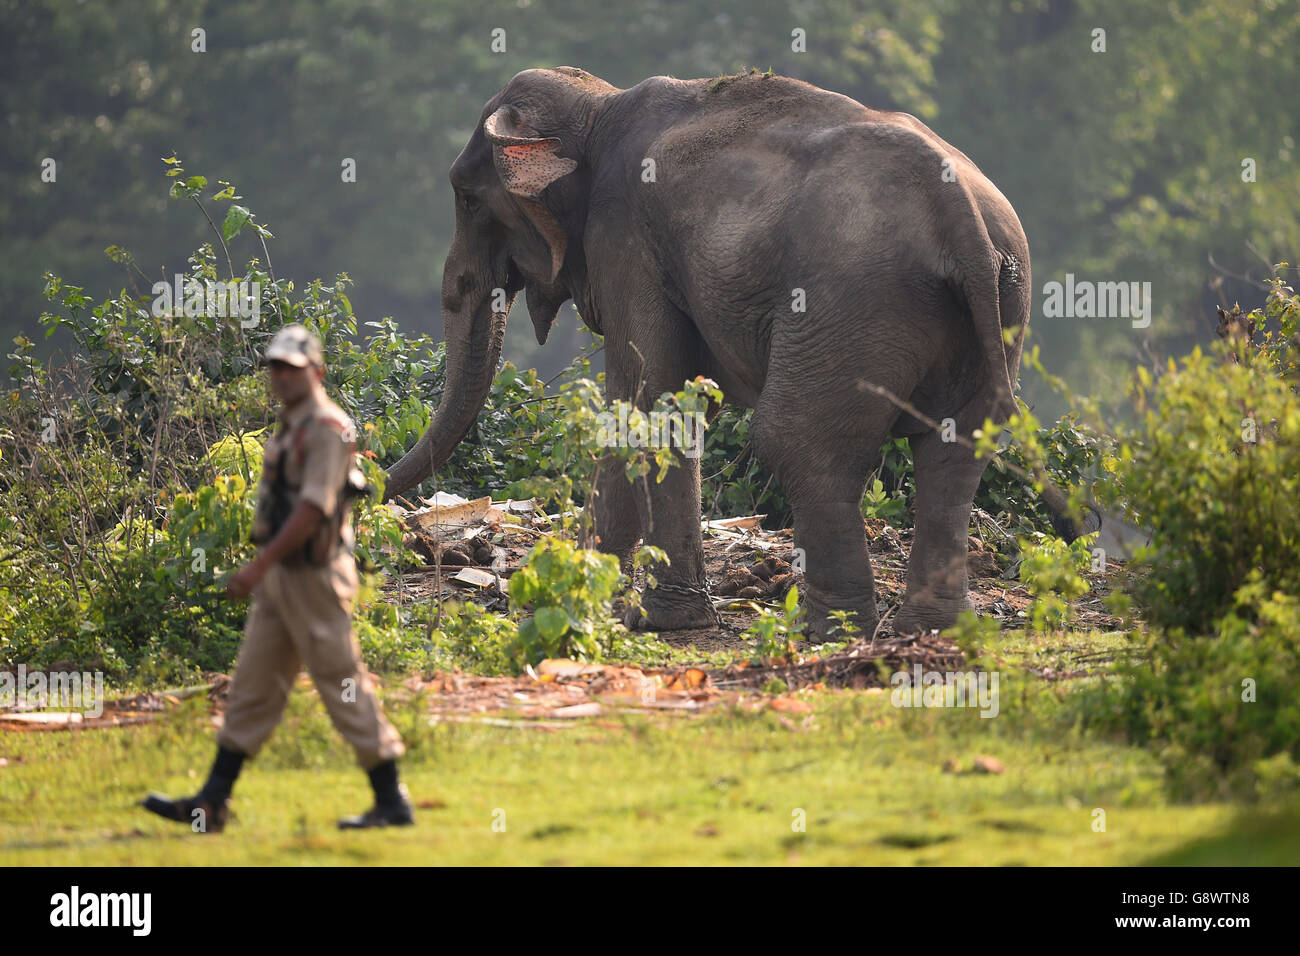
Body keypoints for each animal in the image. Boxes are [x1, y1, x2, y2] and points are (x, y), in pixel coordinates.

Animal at [386, 66, 1093, 638]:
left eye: (467, 196)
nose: (375, 483)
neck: (600, 106)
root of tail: (959, 215)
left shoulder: (628, 244)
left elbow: (647, 403)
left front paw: (627, 615)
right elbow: (674, 404)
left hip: (853, 300)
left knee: (796, 440)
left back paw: (830, 630)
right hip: (998, 299)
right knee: (956, 449)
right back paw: (931, 629)